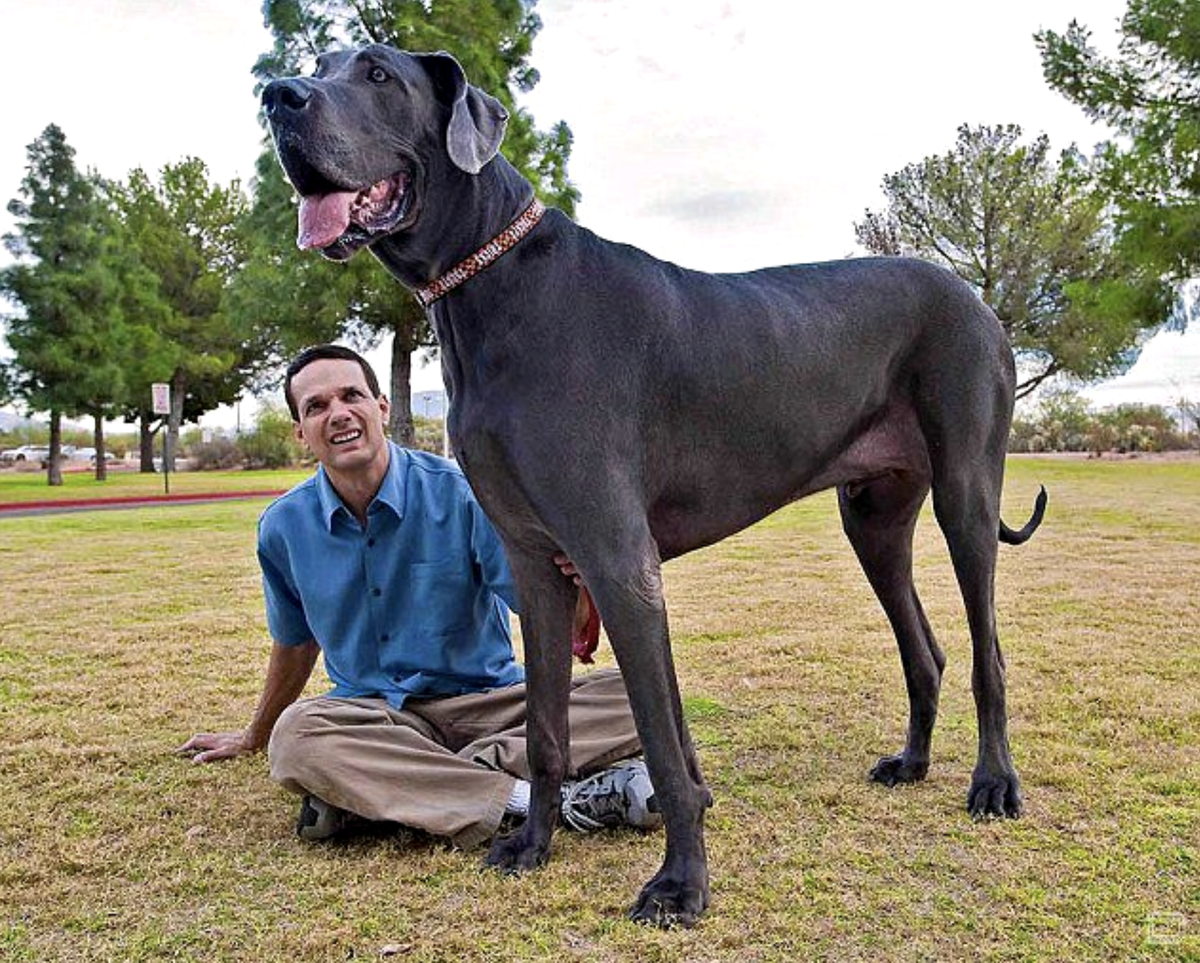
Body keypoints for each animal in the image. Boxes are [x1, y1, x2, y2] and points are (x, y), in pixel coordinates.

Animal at [262, 45, 1041, 922]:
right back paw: (910, 762)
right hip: (873, 519)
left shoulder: (617, 561)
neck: (489, 291)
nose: (278, 97)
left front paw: (681, 882)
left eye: (378, 75)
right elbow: (550, 727)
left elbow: (662, 743)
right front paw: (534, 845)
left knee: (986, 651)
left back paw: (994, 783)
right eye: (322, 63)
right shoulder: (536, 564)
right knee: (925, 650)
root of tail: (975, 298)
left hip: (966, 493)